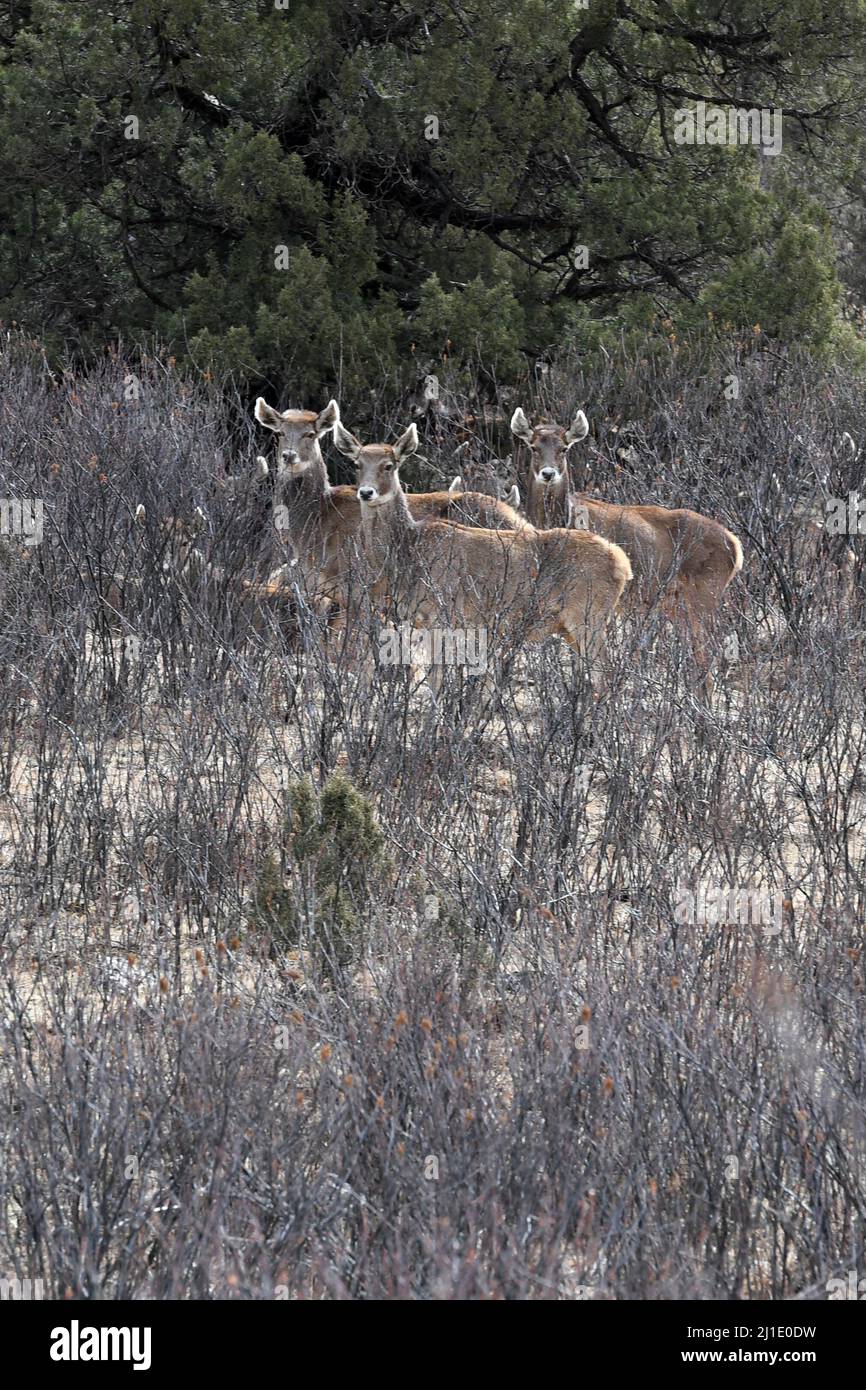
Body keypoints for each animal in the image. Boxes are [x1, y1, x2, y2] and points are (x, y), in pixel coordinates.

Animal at [331, 419, 632, 686]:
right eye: (357, 463)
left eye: (389, 465)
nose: (366, 492)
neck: (408, 552)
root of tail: (623, 565)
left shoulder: (439, 613)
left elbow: (437, 678)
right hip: (573, 626)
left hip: (588, 615)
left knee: (605, 675)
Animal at [510, 407, 743, 680]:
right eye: (533, 446)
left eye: (564, 448)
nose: (548, 474)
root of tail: (736, 547)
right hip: (676, 603)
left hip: (706, 591)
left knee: (711, 649)